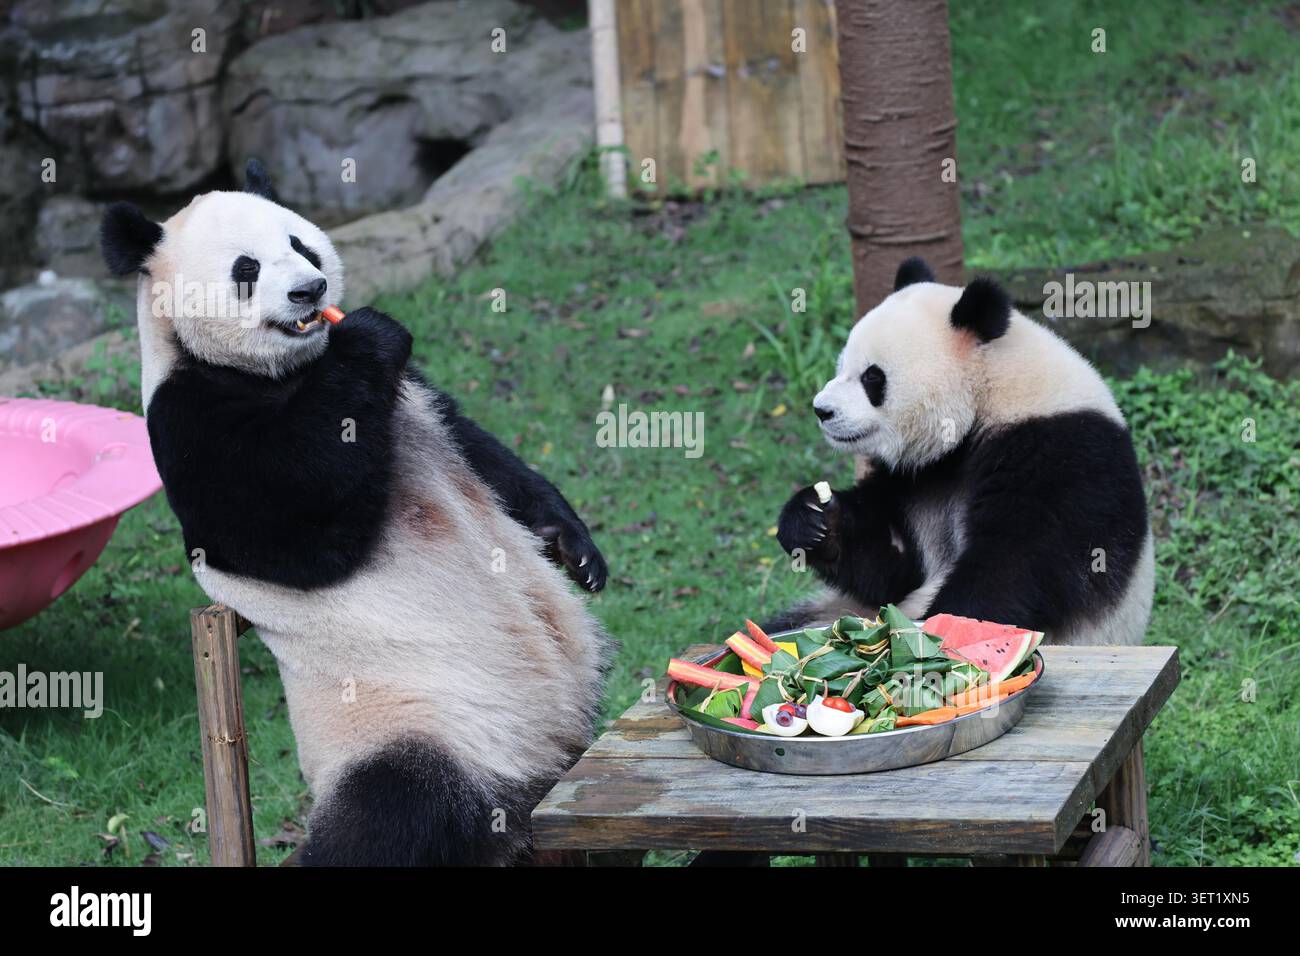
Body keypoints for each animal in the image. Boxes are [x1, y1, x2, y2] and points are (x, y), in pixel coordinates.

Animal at [100, 160, 610, 865]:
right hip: (413, 720)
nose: (311, 291)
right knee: (388, 818)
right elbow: (291, 536)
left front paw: (573, 546)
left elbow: (480, 452)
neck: (284, 371)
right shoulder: (189, 418)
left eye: (302, 246)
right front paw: (369, 334)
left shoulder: (414, 393)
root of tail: (532, 774)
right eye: (246, 268)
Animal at [772, 257, 1154, 645]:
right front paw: (813, 518)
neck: (992, 389)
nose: (822, 410)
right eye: (841, 368)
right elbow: (893, 566)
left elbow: (1018, 563)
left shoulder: (1063, 454)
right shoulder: (919, 473)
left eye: (872, 378)